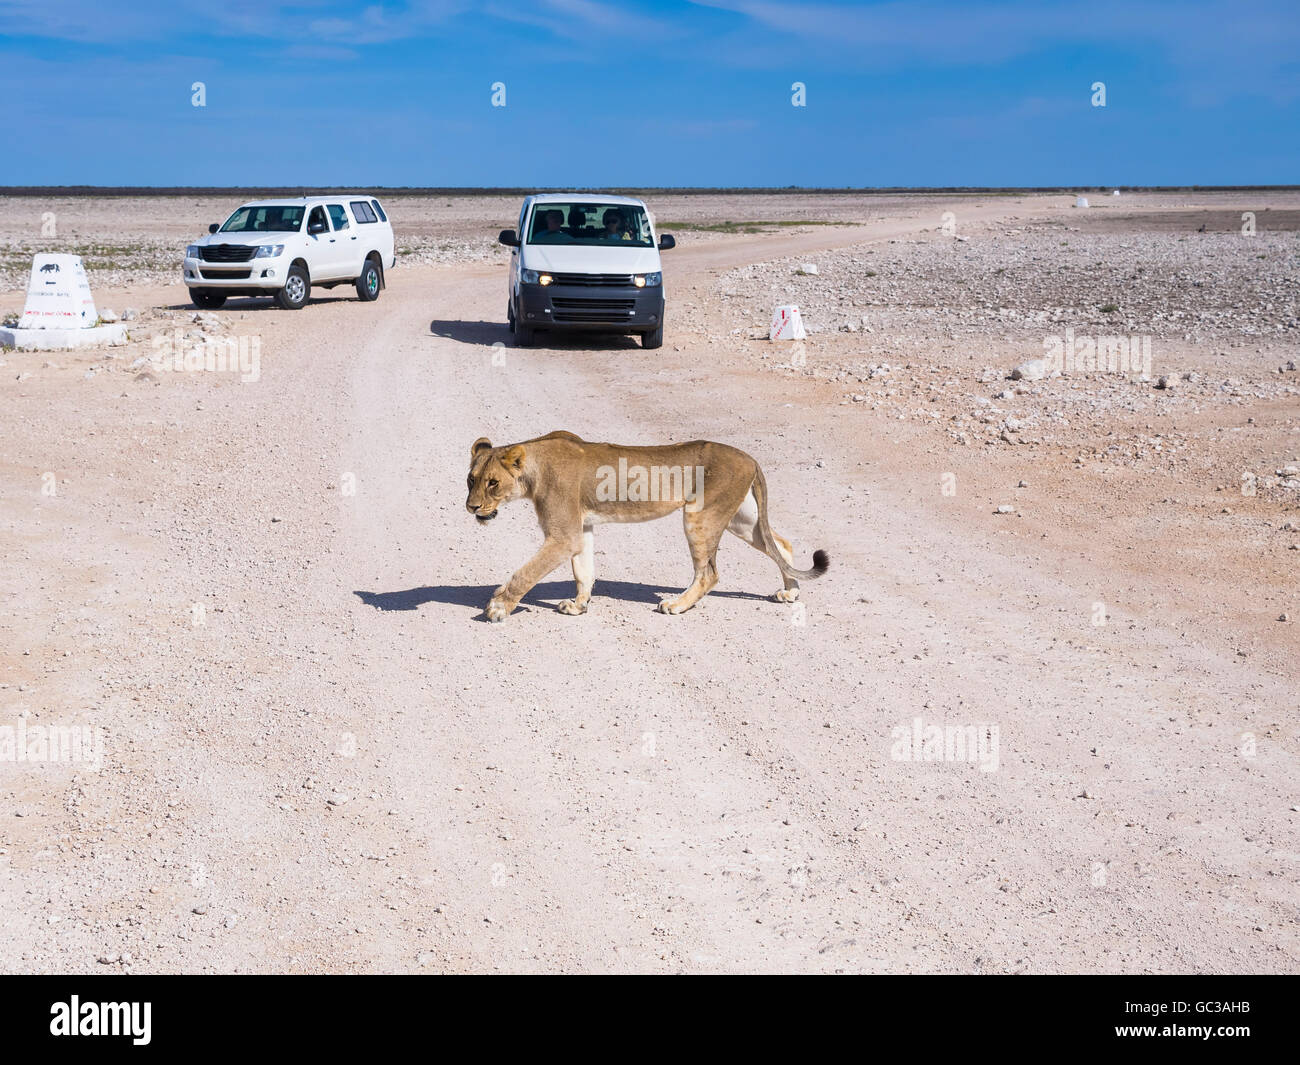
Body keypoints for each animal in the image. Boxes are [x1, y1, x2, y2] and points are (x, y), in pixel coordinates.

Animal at [465, 431, 828, 621]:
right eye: (471, 479)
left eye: (493, 483)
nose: (471, 507)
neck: (534, 469)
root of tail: (749, 457)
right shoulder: (580, 530)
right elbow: (584, 570)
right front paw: (579, 605)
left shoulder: (563, 535)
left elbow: (526, 572)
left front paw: (498, 606)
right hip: (743, 519)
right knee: (782, 545)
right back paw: (790, 593)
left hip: (700, 516)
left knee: (708, 573)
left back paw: (676, 605)